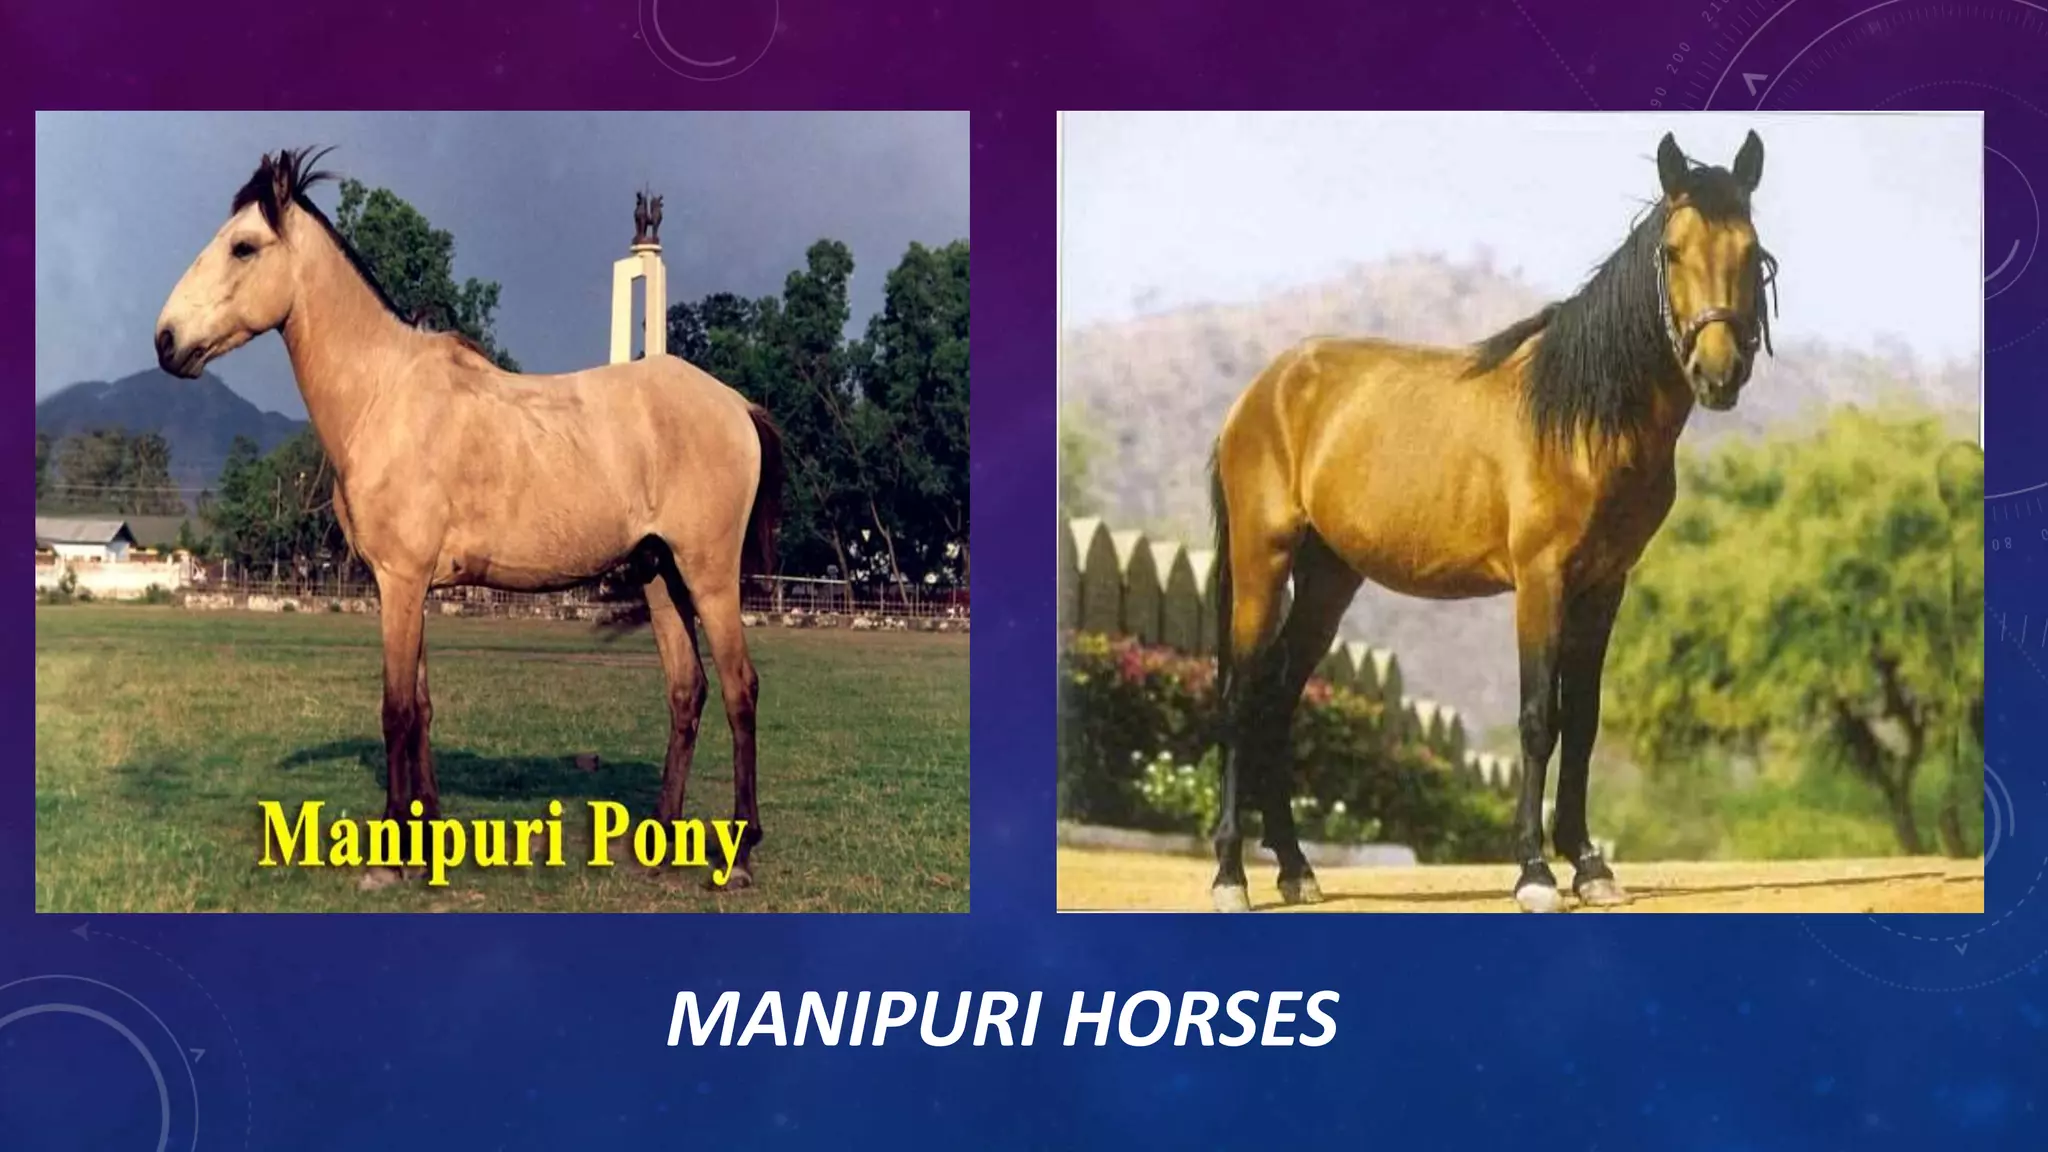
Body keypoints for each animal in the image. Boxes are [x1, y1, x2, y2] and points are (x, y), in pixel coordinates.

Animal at [154, 148, 787, 889]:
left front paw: (390, 856)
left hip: (708, 575)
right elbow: (422, 708)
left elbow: (396, 710)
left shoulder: (400, 582)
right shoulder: (405, 587)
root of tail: (736, 405)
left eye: (243, 246)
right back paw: (658, 845)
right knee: (687, 691)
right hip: (660, 576)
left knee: (741, 690)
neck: (384, 394)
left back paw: (740, 853)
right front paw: (426, 835)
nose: (166, 340)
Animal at [1207, 131, 1777, 912]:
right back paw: (1231, 876)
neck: (1582, 420)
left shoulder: (1605, 586)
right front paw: (1535, 872)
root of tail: (1263, 392)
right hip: (1263, 563)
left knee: (1276, 704)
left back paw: (1297, 869)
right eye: (1672, 251)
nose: (1717, 373)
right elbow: (1540, 720)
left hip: (1328, 579)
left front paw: (1590, 867)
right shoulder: (1541, 581)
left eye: (1752, 252)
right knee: (1240, 701)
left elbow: (1584, 720)